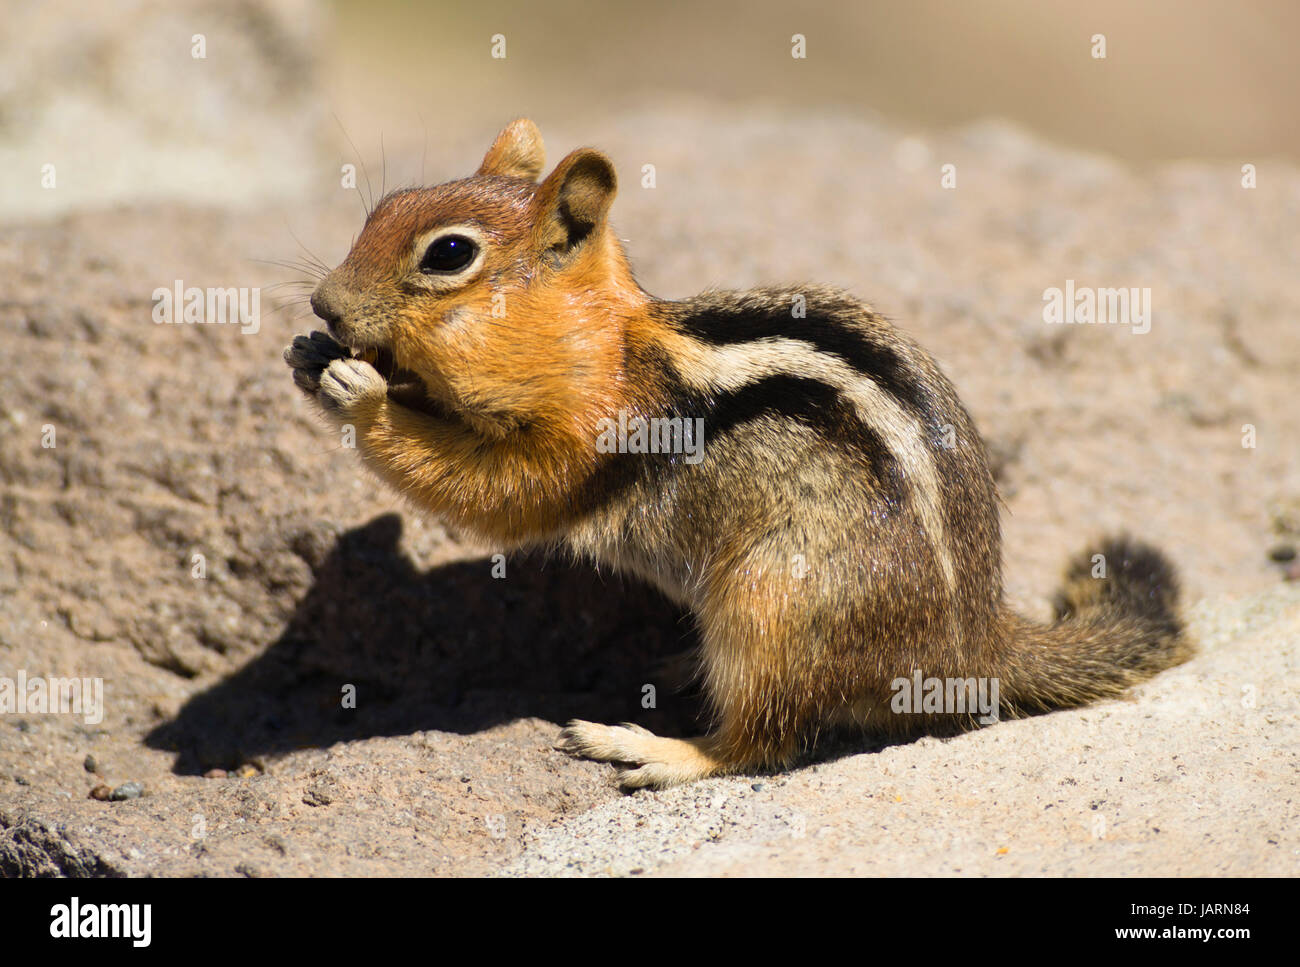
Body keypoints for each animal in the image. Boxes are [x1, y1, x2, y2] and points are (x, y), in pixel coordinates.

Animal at [284, 118, 1191, 789]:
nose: (323, 302)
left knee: (762, 741)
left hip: (773, 603)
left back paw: (651, 746)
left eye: (448, 254)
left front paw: (359, 393)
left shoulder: (593, 437)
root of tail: (977, 647)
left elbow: (498, 490)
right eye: (383, 206)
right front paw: (310, 354)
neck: (606, 345)